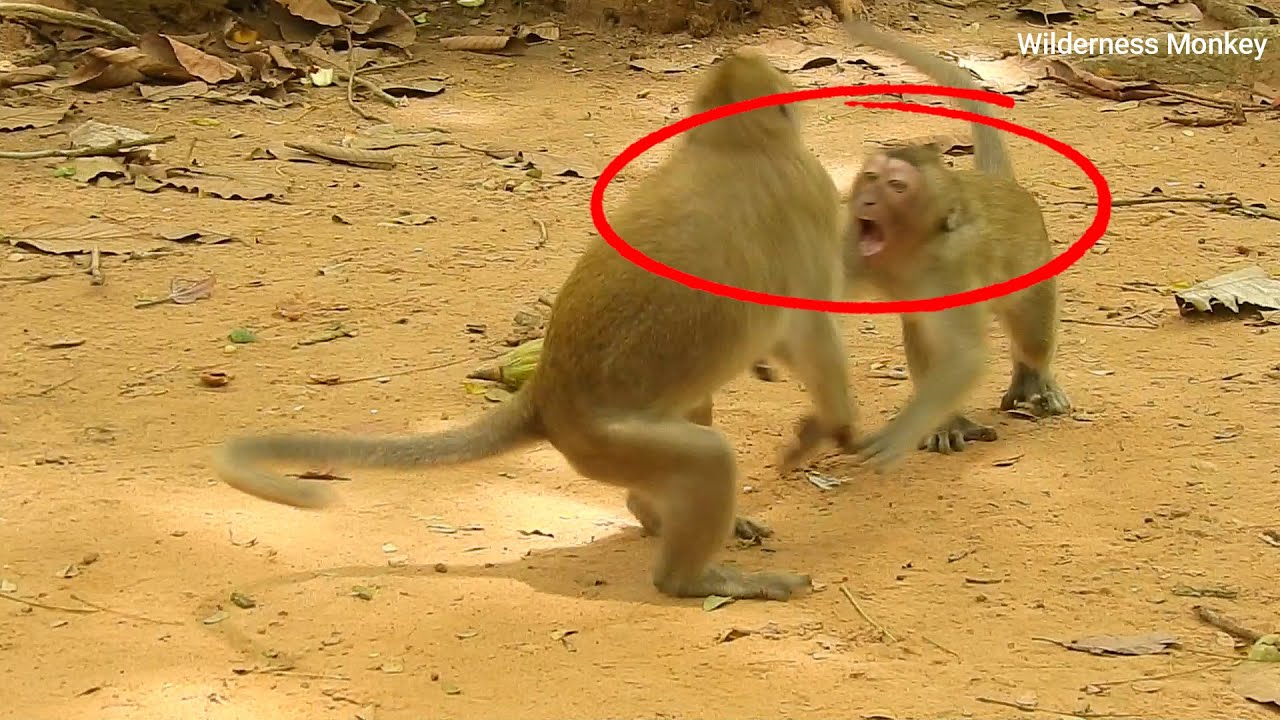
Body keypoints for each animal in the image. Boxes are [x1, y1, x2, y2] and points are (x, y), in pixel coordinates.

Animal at [212, 50, 858, 602]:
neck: (732, 142)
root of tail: (546, 395)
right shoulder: (813, 190)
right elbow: (810, 331)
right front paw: (836, 427)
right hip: (606, 440)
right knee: (706, 459)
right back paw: (692, 579)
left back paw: (650, 513)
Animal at [824, 20, 1071, 470]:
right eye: (871, 177)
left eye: (897, 186)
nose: (866, 201)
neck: (907, 250)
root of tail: (1002, 185)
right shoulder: (853, 251)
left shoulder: (949, 269)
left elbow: (964, 356)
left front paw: (898, 434)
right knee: (921, 330)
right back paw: (951, 422)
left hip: (1033, 267)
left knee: (1032, 337)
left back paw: (1035, 378)